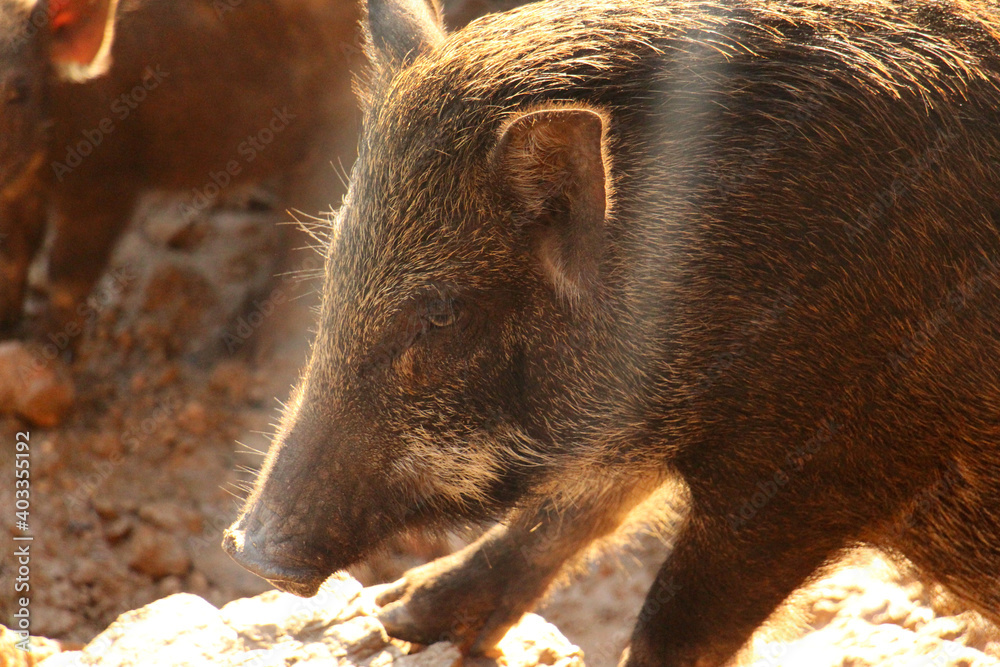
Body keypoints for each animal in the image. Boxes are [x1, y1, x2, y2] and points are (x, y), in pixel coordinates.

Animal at [0, 0, 361, 341]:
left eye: (19, 91)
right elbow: (12, 258)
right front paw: (8, 334)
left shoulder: (107, 176)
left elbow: (68, 274)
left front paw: (47, 352)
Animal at [224, 0, 1000, 664]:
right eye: (335, 264)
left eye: (441, 311)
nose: (248, 549)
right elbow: (567, 509)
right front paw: (394, 615)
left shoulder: (824, 465)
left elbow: (673, 621)